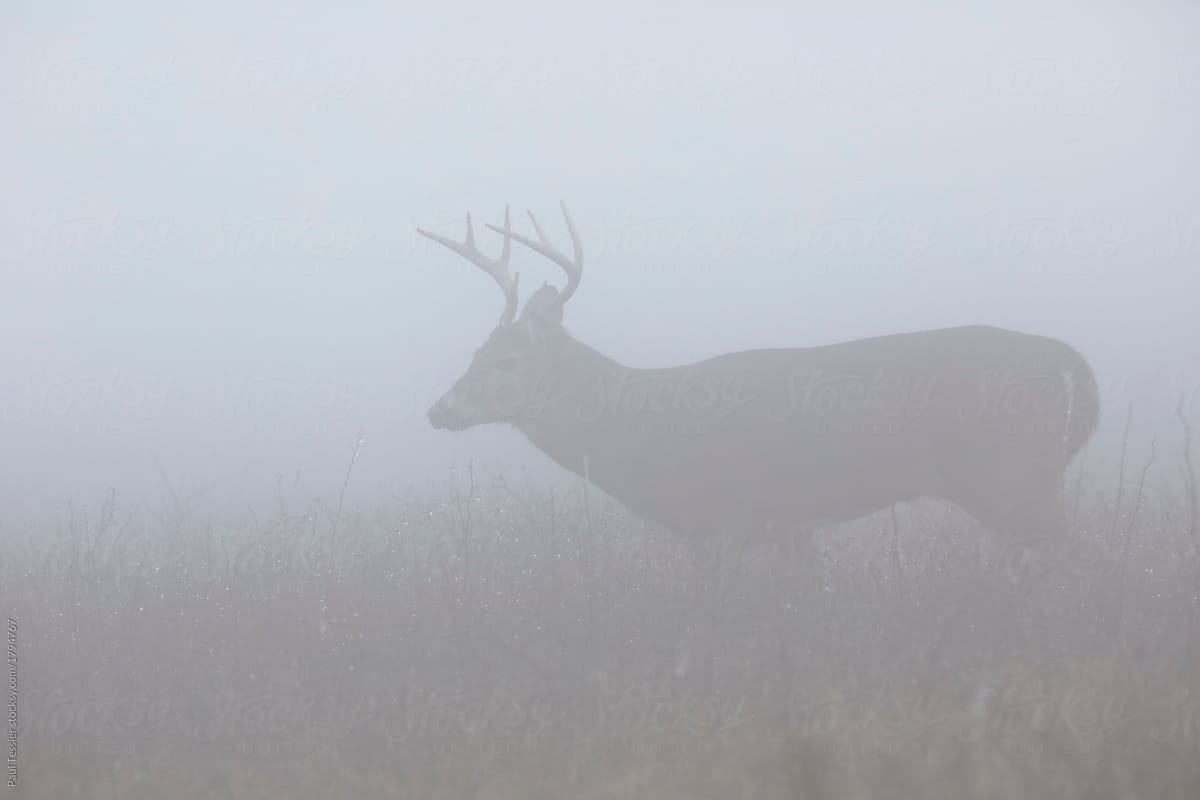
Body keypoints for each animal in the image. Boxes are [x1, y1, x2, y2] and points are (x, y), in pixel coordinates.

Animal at [418, 204, 1099, 566]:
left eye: (509, 361)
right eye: (476, 351)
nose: (438, 409)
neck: (637, 428)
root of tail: (1069, 359)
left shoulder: (720, 518)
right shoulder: (787, 527)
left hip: (1013, 474)